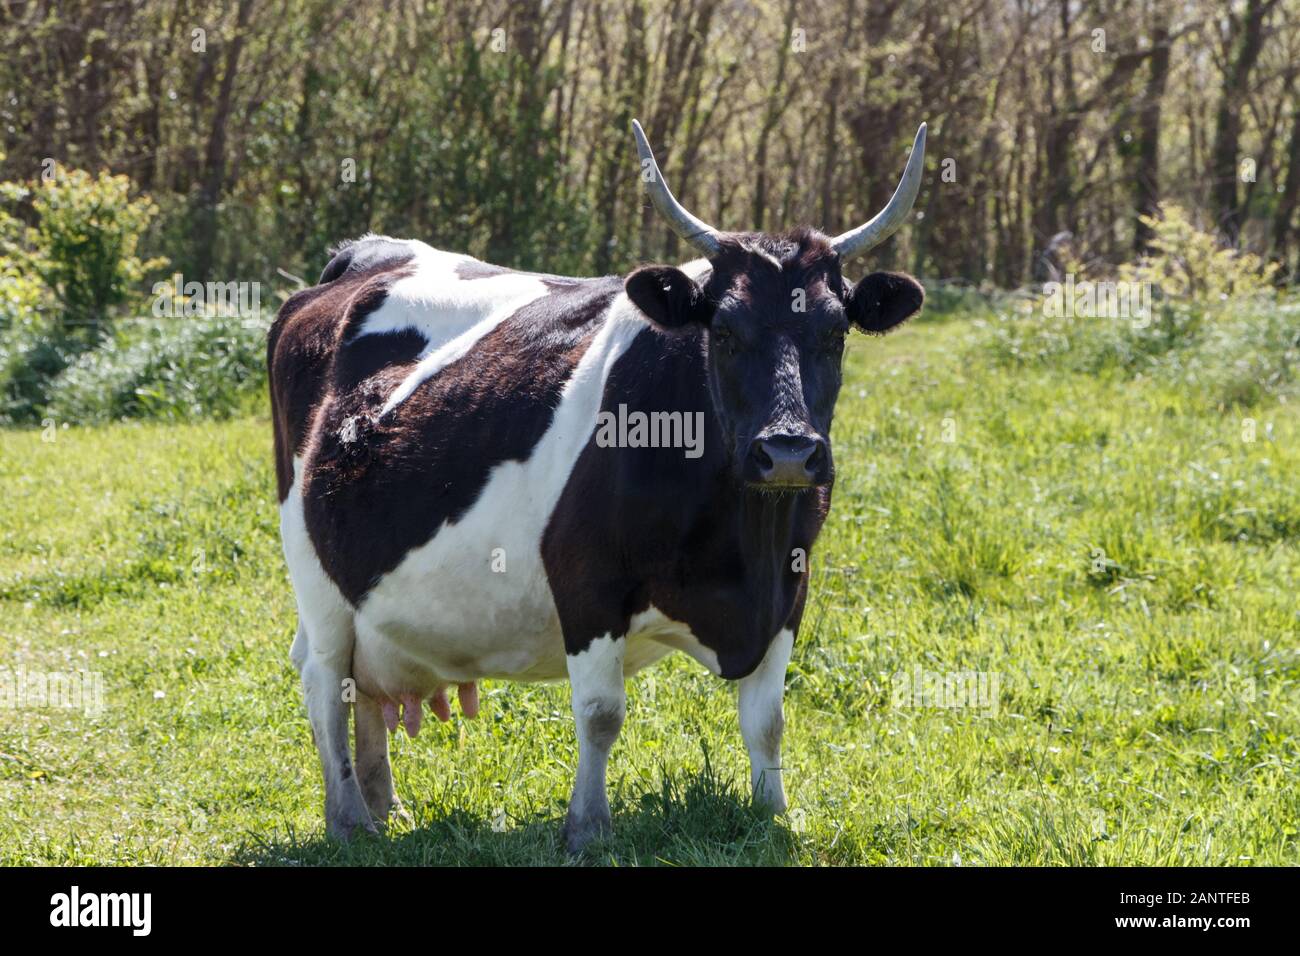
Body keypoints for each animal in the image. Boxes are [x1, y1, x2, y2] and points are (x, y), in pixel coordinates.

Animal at [269, 120, 927, 852]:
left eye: (835, 332)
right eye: (724, 331)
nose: (787, 451)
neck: (741, 543)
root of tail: (363, 254)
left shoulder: (791, 584)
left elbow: (767, 718)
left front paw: (771, 813)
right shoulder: (586, 579)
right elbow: (600, 711)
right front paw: (587, 827)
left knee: (362, 689)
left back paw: (384, 811)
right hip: (315, 573)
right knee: (324, 680)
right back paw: (348, 819)